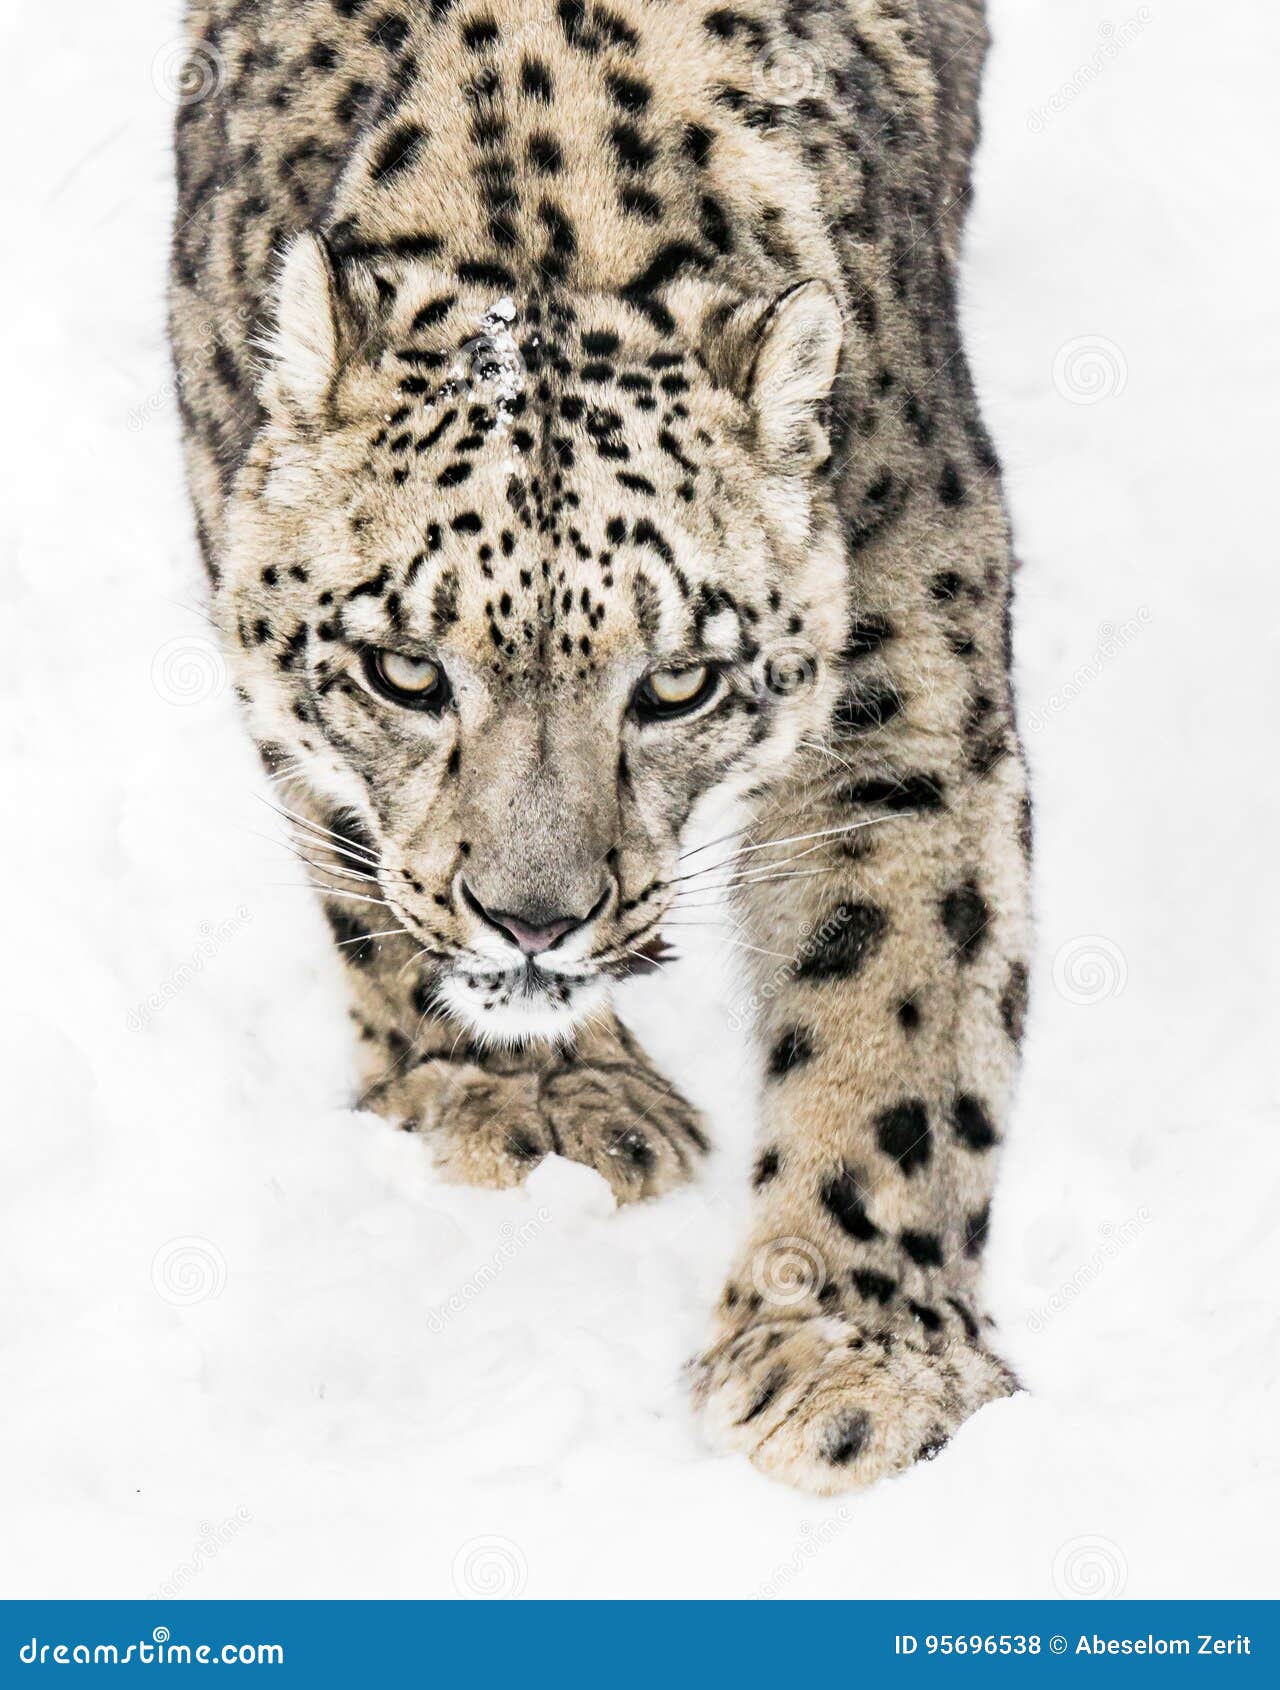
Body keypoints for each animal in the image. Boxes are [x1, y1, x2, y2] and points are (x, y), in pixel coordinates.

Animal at [170, 0, 1031, 1495]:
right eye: (404, 669)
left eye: (677, 681)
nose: (534, 920)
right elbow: (362, 874)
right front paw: (535, 1099)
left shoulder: (909, 690)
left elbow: (905, 989)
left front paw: (853, 1356)